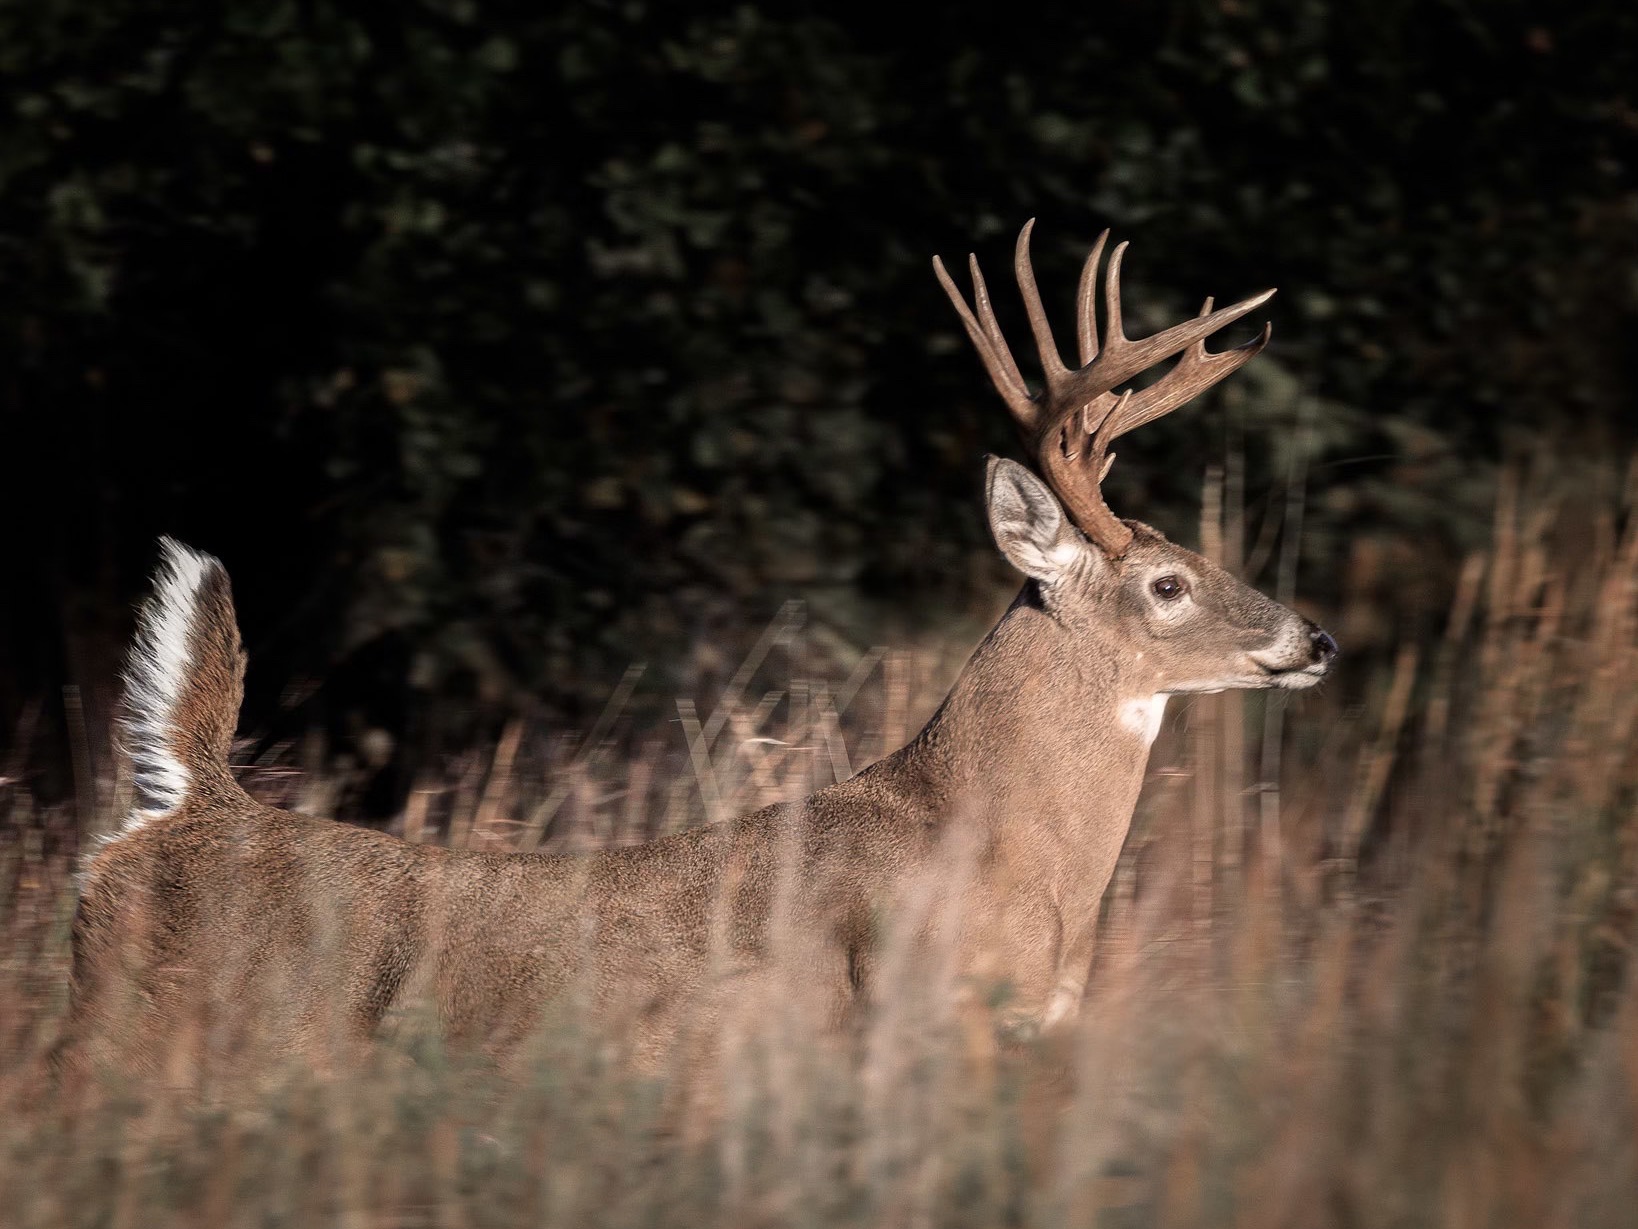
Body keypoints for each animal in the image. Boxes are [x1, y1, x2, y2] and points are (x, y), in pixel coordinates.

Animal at [55, 222, 1335, 1086]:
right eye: (1167, 584)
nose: (1314, 636)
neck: (999, 847)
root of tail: (183, 809)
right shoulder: (914, 1025)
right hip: (165, 1033)